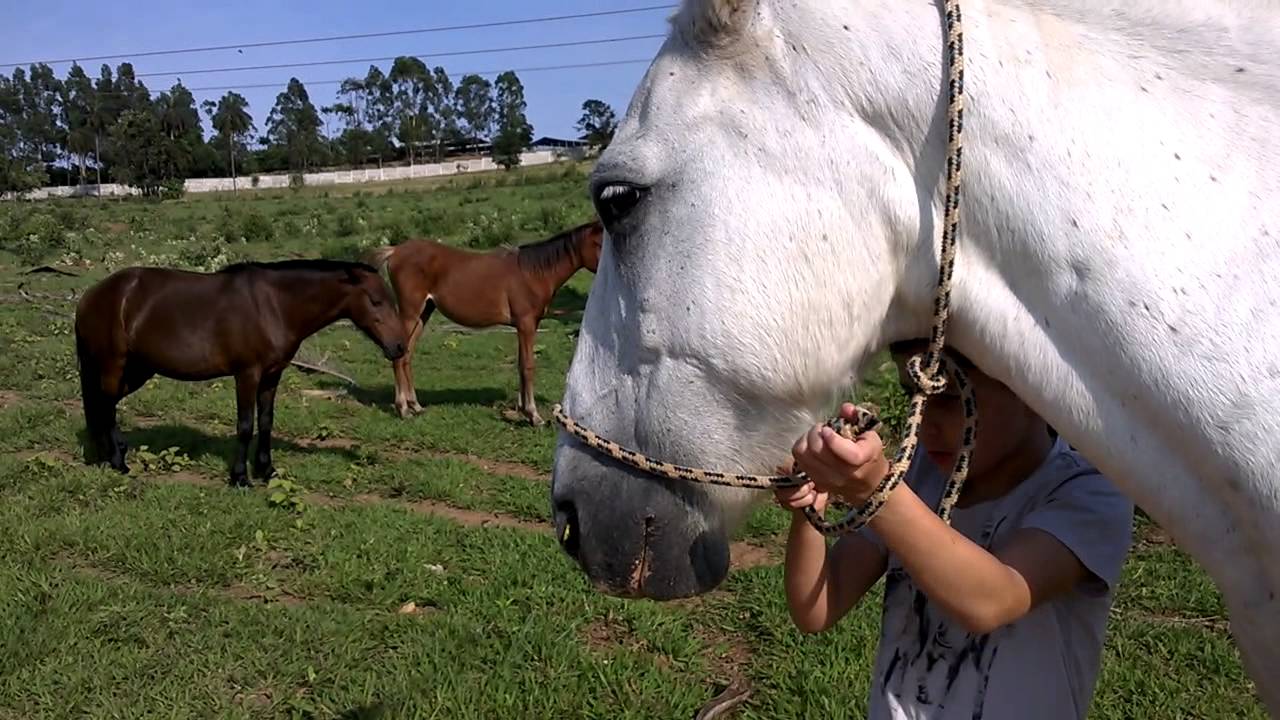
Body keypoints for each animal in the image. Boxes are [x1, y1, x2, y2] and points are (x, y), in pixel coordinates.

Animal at [74, 259, 406, 486]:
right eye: (376, 301)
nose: (399, 347)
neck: (274, 306)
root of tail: (92, 294)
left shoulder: (272, 375)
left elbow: (266, 422)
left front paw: (266, 470)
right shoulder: (247, 374)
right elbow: (246, 425)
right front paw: (240, 477)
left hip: (139, 369)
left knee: (106, 403)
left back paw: (114, 452)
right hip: (114, 364)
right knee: (106, 404)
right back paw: (118, 461)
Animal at [366, 219, 603, 424]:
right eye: (599, 243)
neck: (533, 273)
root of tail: (395, 251)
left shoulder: (525, 326)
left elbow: (520, 364)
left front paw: (521, 410)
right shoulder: (526, 324)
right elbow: (528, 365)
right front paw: (533, 415)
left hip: (424, 312)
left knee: (407, 354)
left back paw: (415, 405)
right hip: (410, 312)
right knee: (399, 356)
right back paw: (402, 409)